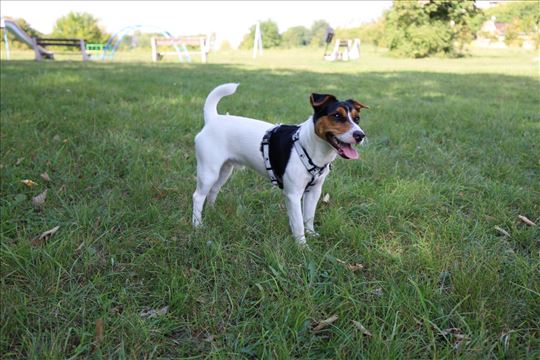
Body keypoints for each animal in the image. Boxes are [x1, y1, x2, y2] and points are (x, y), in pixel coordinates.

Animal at [192, 83, 370, 246]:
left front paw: (311, 234)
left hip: (224, 170)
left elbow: (308, 217)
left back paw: (213, 211)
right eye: (337, 116)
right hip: (208, 172)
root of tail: (213, 119)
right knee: (198, 196)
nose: (360, 135)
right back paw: (197, 225)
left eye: (357, 119)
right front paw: (302, 247)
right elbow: (298, 223)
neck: (310, 147)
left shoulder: (314, 192)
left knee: (213, 191)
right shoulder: (293, 195)